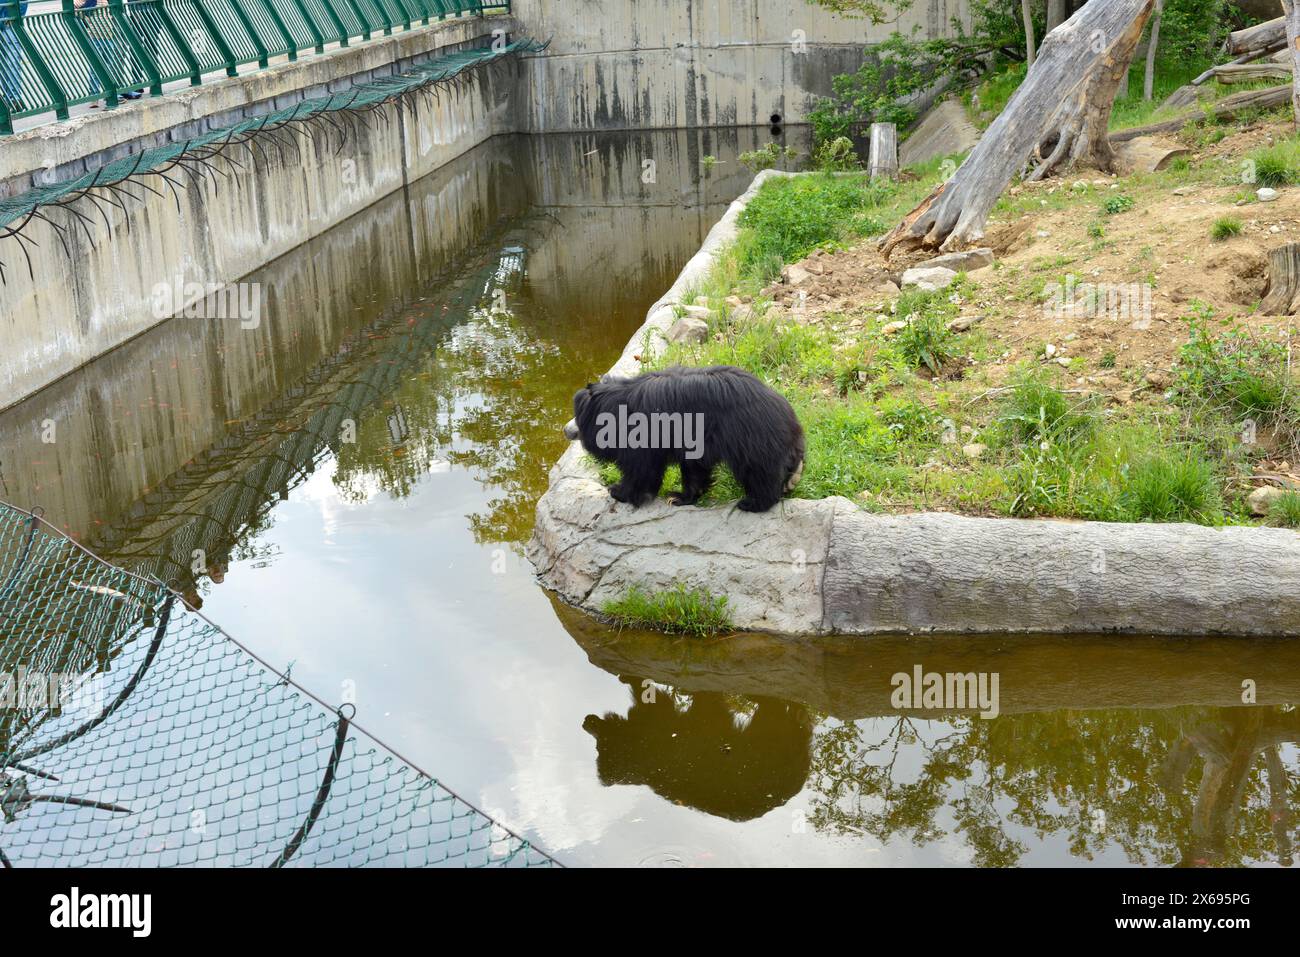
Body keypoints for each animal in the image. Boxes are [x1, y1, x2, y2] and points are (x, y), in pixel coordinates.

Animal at [563, 365, 805, 513]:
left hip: (749, 438)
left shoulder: (643, 434)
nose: (566, 430)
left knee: (757, 471)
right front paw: (679, 497)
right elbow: (694, 468)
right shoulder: (694, 441)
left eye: (578, 417)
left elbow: (640, 467)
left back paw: (753, 502)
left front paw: (618, 491)